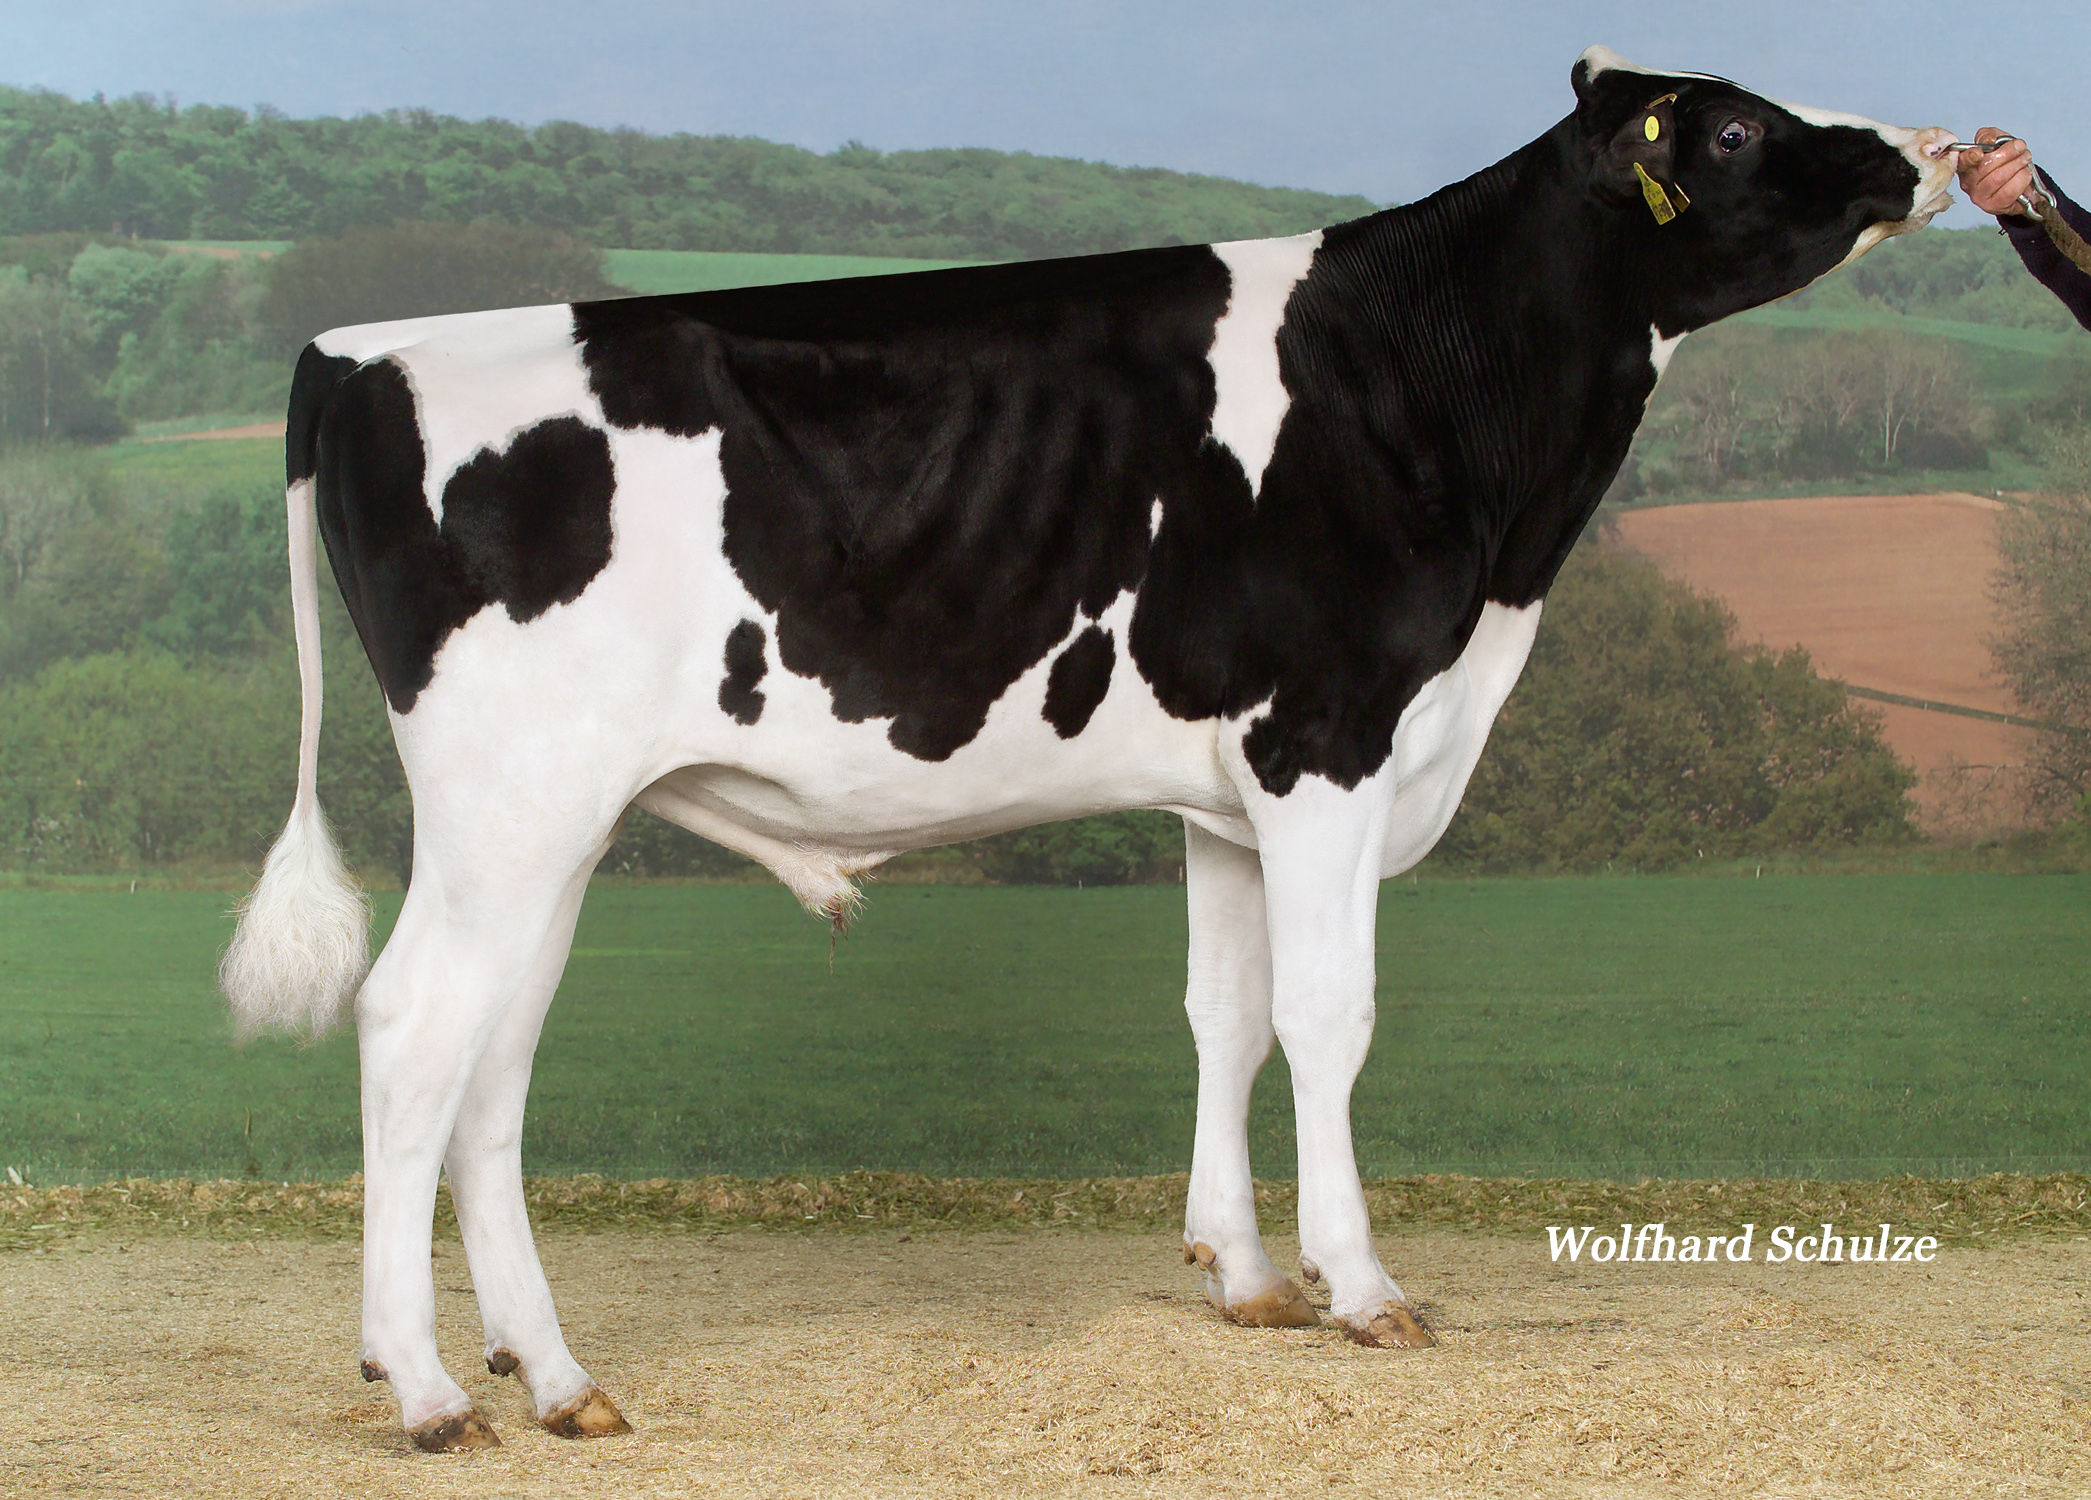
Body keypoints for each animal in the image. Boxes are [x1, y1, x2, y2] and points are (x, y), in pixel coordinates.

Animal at [221, 47, 1959, 1451]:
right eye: (1730, 130)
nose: (1928, 147)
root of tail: (354, 352)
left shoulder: (1228, 789)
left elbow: (1225, 1015)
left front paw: (1243, 1275)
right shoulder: (1325, 746)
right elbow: (1327, 1018)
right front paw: (1359, 1286)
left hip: (549, 826)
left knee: (493, 1063)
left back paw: (556, 1377)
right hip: (504, 805)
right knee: (411, 1030)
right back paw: (428, 1390)